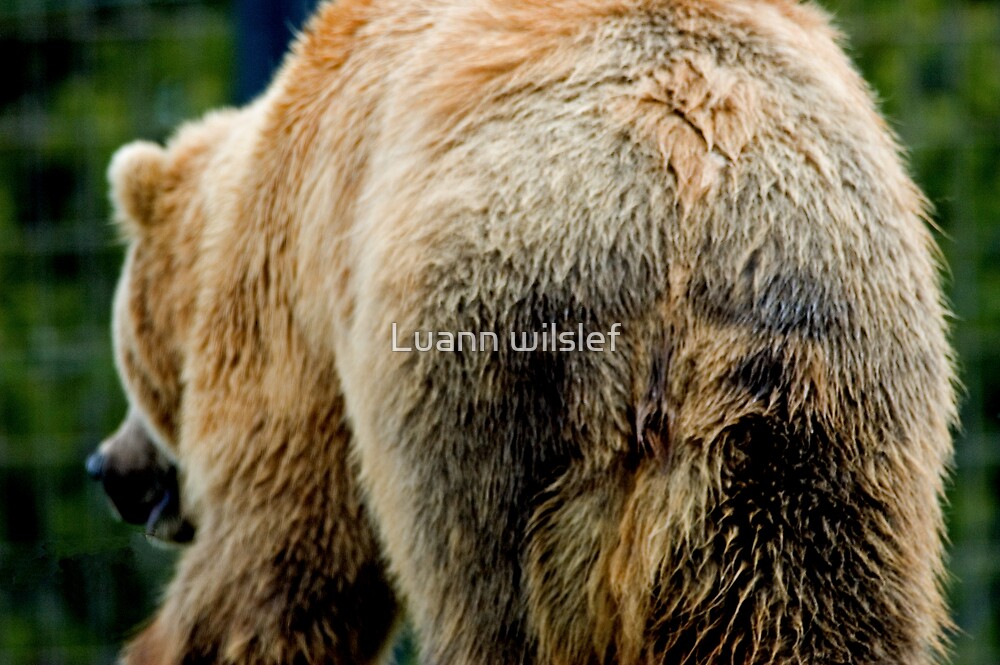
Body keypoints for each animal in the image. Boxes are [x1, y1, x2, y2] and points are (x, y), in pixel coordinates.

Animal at [91, 0, 957, 663]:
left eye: (129, 358)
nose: (108, 466)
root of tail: (684, 199)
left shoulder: (303, 300)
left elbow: (276, 558)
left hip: (487, 371)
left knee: (492, 605)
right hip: (817, 408)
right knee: (800, 611)